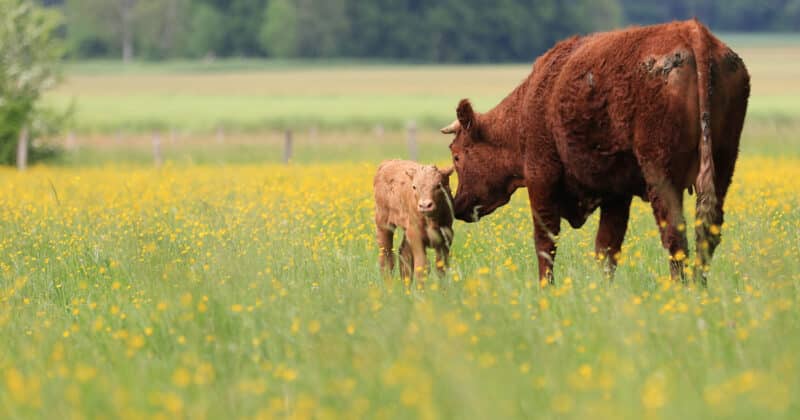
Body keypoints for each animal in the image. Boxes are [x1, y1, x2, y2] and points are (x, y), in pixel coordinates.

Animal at [439, 19, 750, 285]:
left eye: (456, 155)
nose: (458, 205)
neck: (529, 105)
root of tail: (693, 31)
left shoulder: (541, 178)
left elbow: (546, 241)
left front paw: (546, 288)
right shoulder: (617, 194)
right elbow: (607, 248)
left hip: (661, 173)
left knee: (675, 234)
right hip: (723, 163)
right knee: (707, 231)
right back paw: (700, 287)